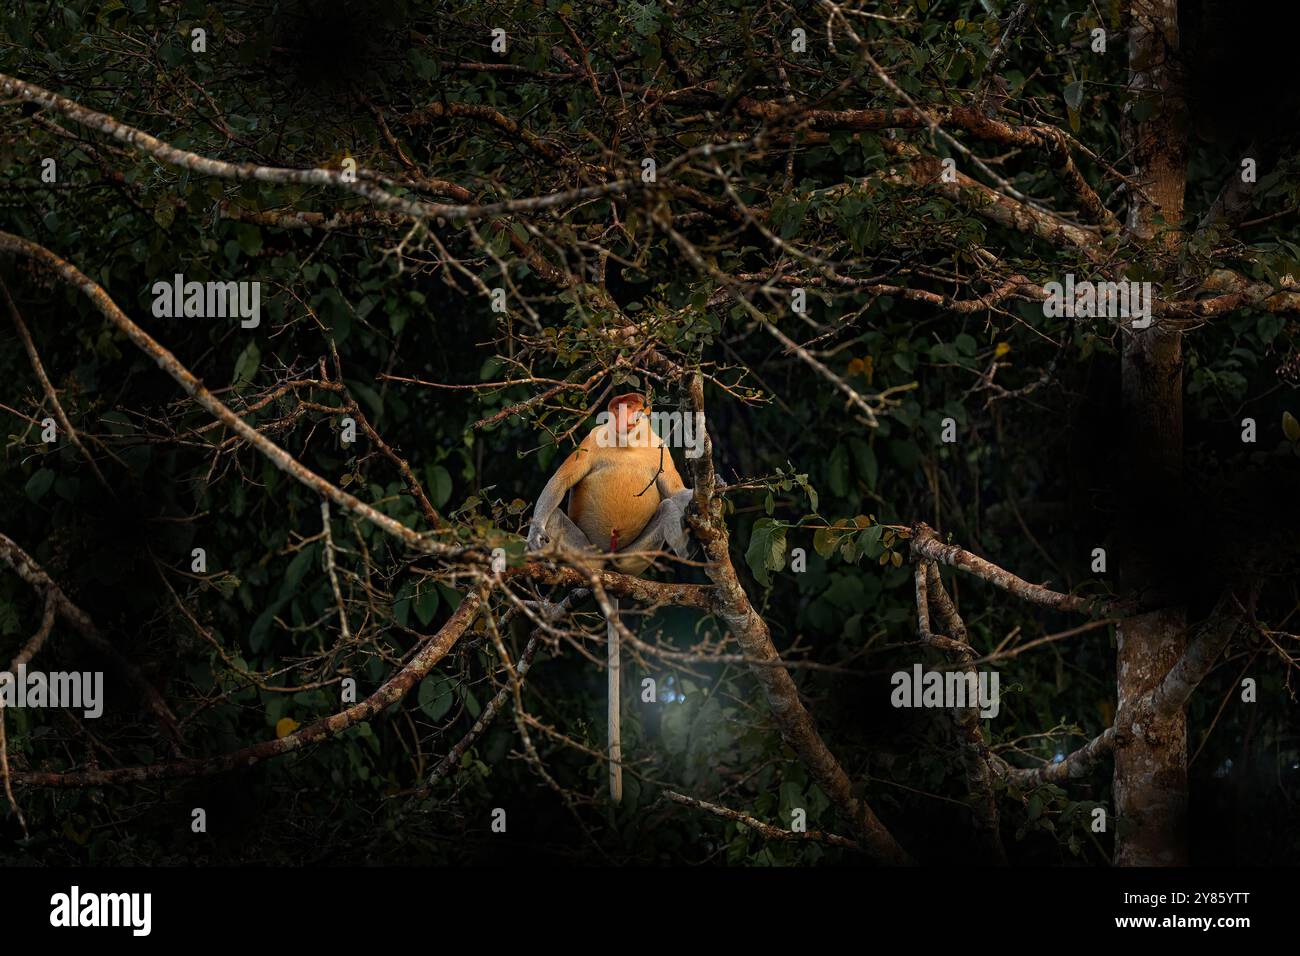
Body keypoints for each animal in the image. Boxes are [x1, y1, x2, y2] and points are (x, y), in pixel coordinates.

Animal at [527, 392, 695, 802]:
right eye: (618, 406)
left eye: (633, 406)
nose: (624, 417)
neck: (628, 444)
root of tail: (611, 568)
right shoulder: (594, 437)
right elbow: (560, 481)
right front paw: (534, 533)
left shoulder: (660, 448)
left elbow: (674, 492)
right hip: (585, 549)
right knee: (557, 519)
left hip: (635, 557)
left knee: (668, 508)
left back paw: (685, 550)